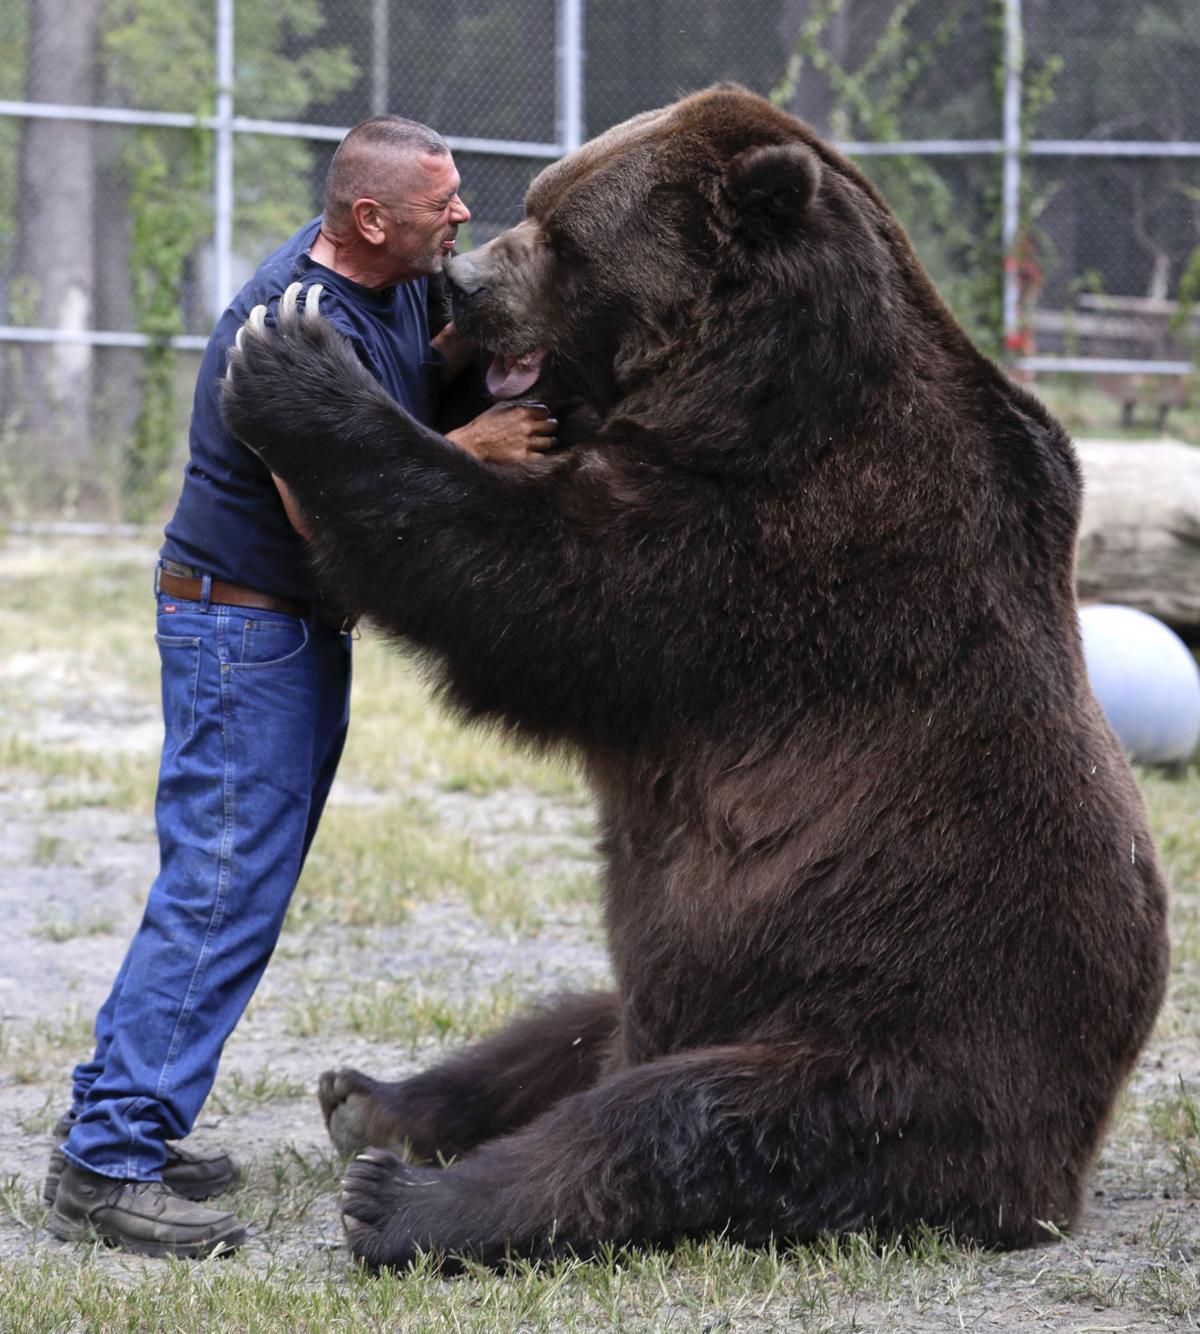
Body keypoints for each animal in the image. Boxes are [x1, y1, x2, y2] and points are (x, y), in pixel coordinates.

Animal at [220, 86, 1169, 1270]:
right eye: (536, 205)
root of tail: (1076, 1150)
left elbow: (539, 585)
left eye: (566, 238)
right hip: (685, 1005)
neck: (753, 393)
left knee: (684, 1120)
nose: (463, 282)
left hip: (898, 1029)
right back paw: (375, 1097)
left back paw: (402, 1200)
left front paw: (296, 364)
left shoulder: (778, 549)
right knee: (566, 1024)